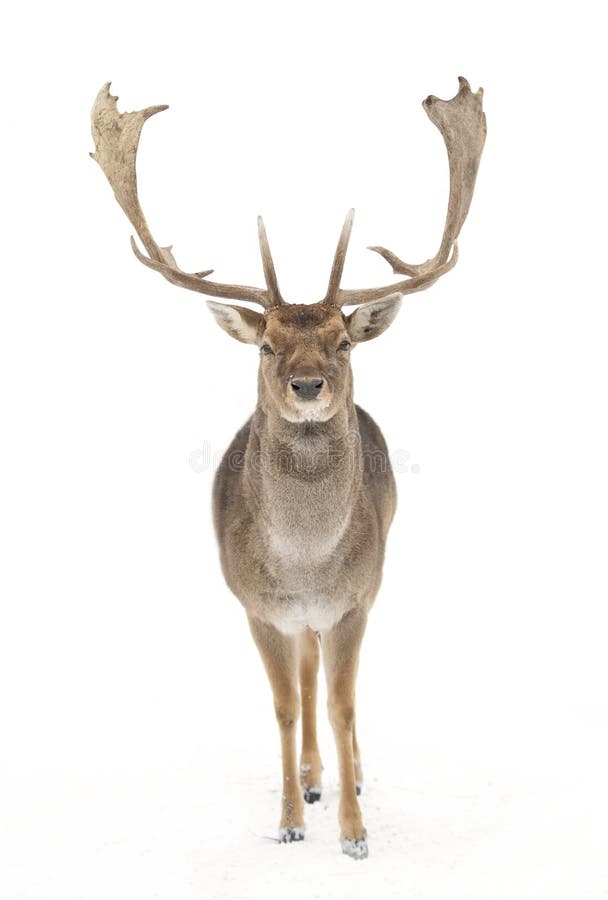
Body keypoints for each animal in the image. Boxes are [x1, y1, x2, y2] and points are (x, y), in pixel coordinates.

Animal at [90, 76, 486, 859]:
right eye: (266, 344)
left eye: (344, 342)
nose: (307, 385)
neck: (305, 565)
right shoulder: (257, 605)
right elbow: (283, 706)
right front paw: (290, 821)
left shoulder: (356, 598)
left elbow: (341, 702)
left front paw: (356, 833)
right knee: (303, 680)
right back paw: (310, 778)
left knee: (329, 687)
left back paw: (346, 774)